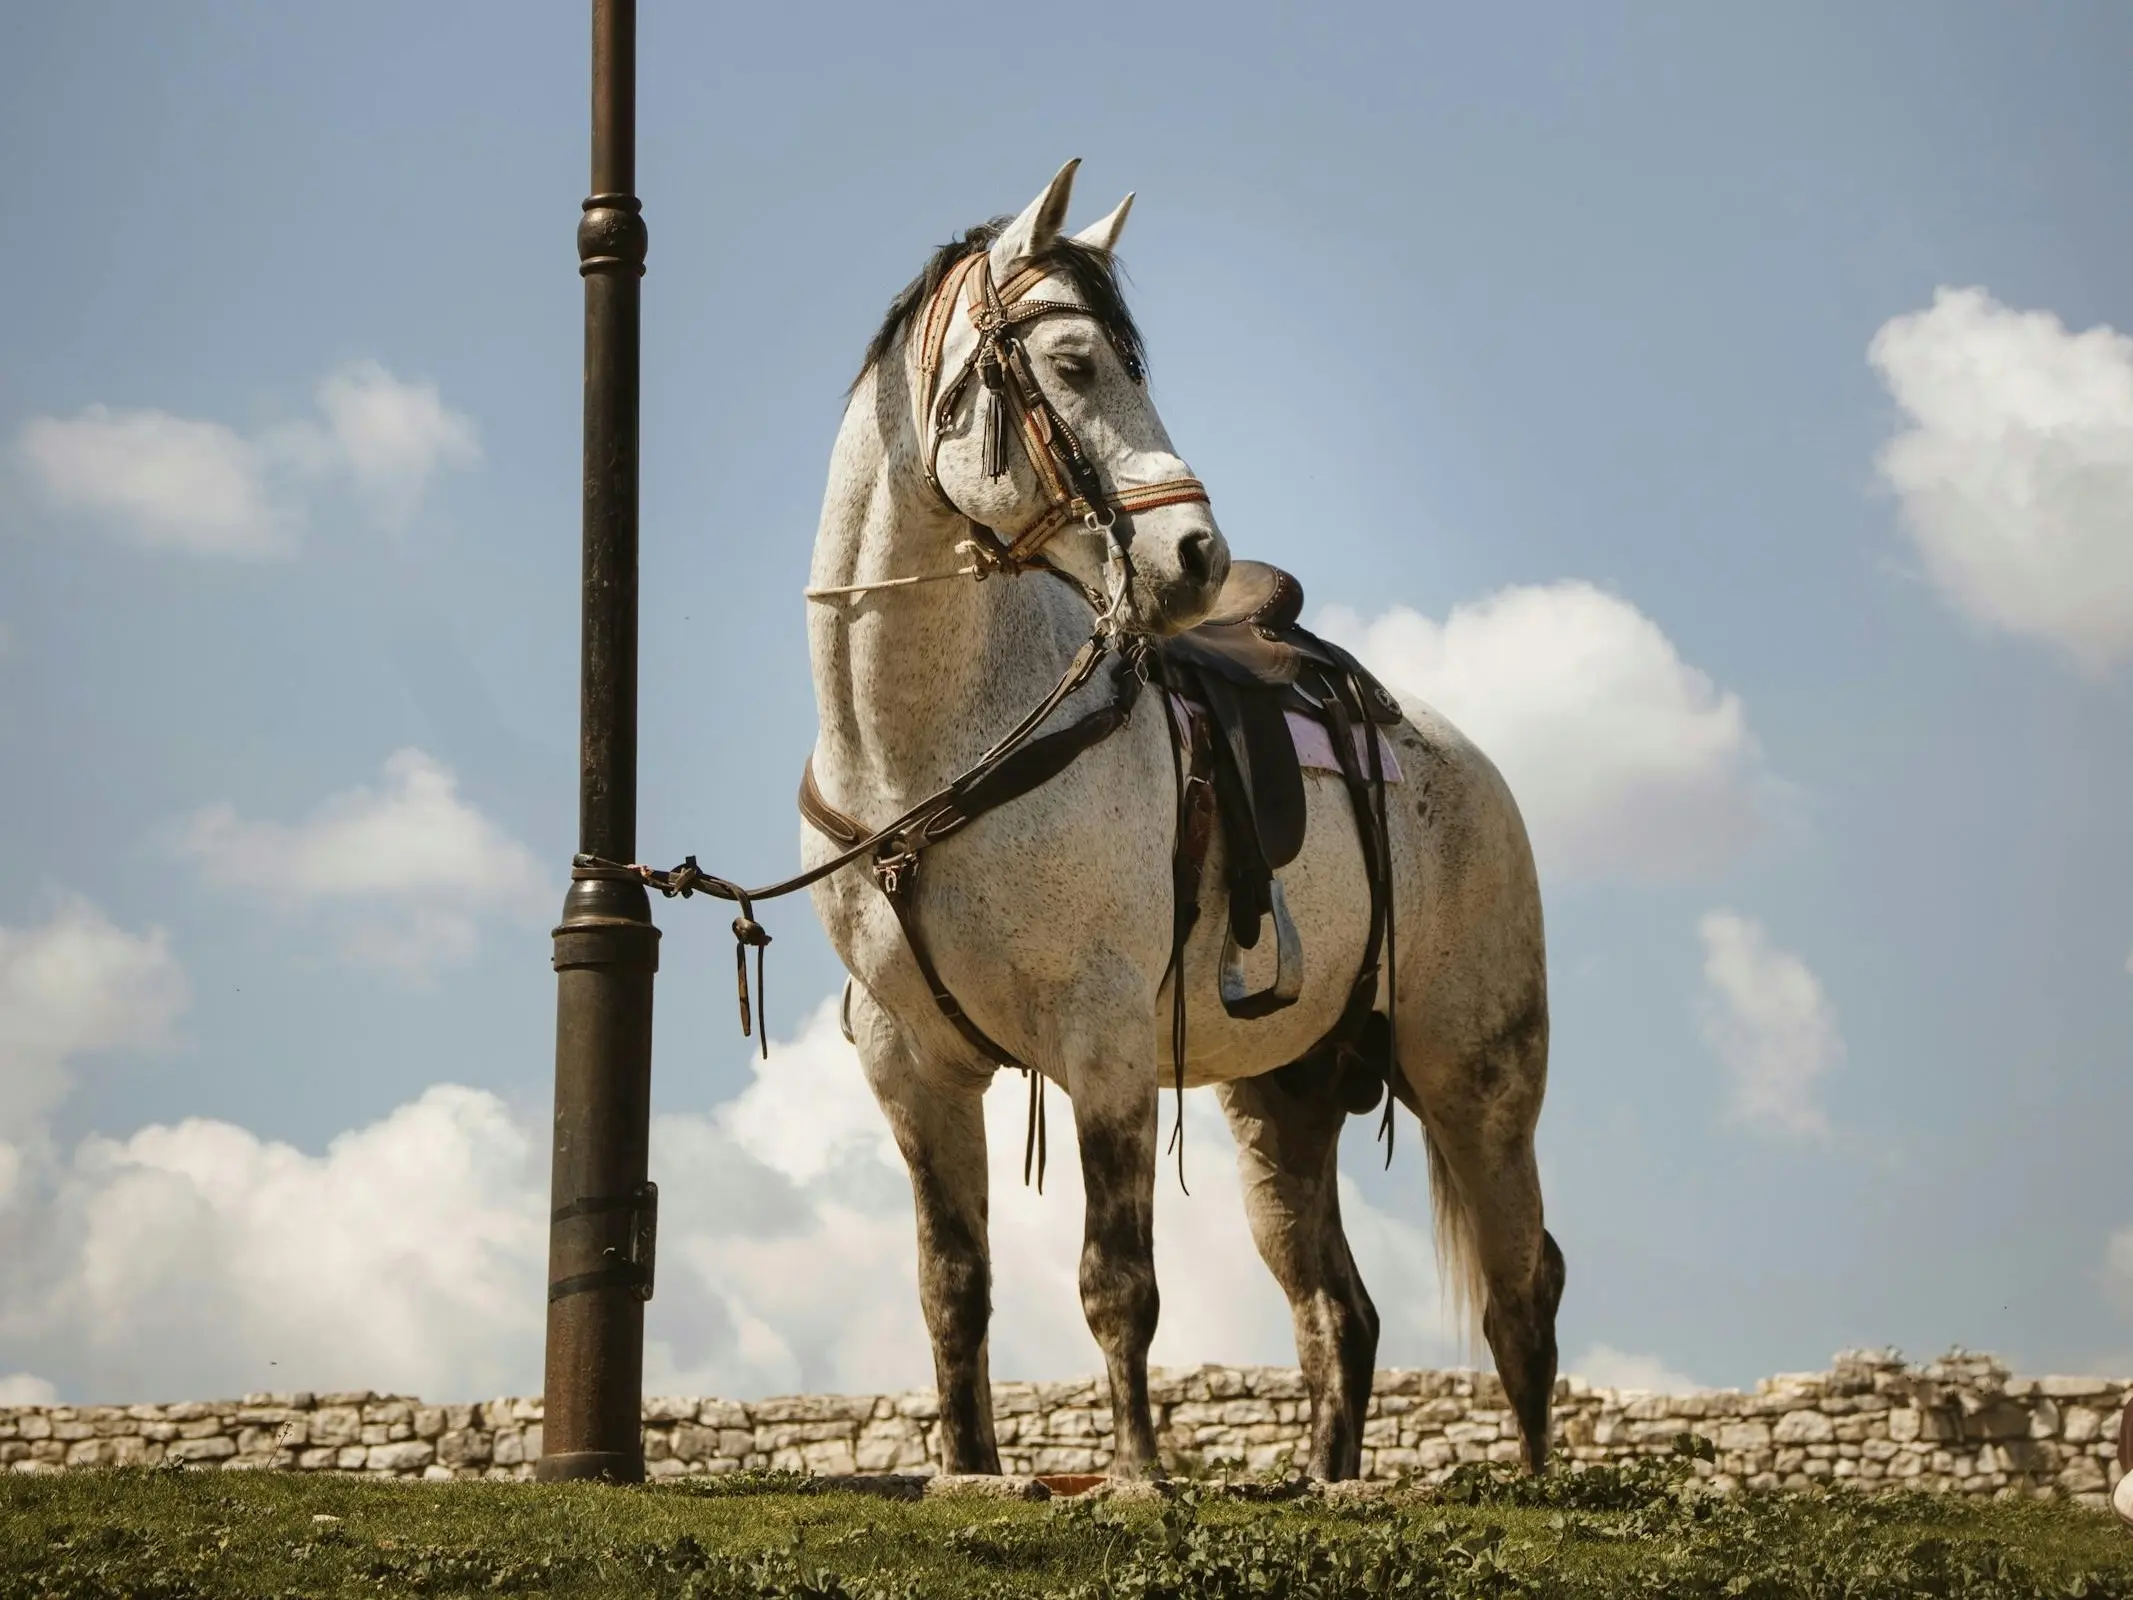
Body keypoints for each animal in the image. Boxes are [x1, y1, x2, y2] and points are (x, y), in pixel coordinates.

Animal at [798, 159, 1562, 1481]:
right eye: (1072, 363)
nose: (1198, 555)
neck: (926, 755)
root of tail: (1472, 767)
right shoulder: (916, 1069)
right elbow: (953, 1285)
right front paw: (968, 1470)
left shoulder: (1104, 1044)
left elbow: (1118, 1283)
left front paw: (1139, 1474)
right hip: (1282, 1104)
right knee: (1339, 1310)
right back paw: (1327, 1478)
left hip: (1477, 1080)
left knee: (1523, 1284)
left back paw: (1536, 1485)